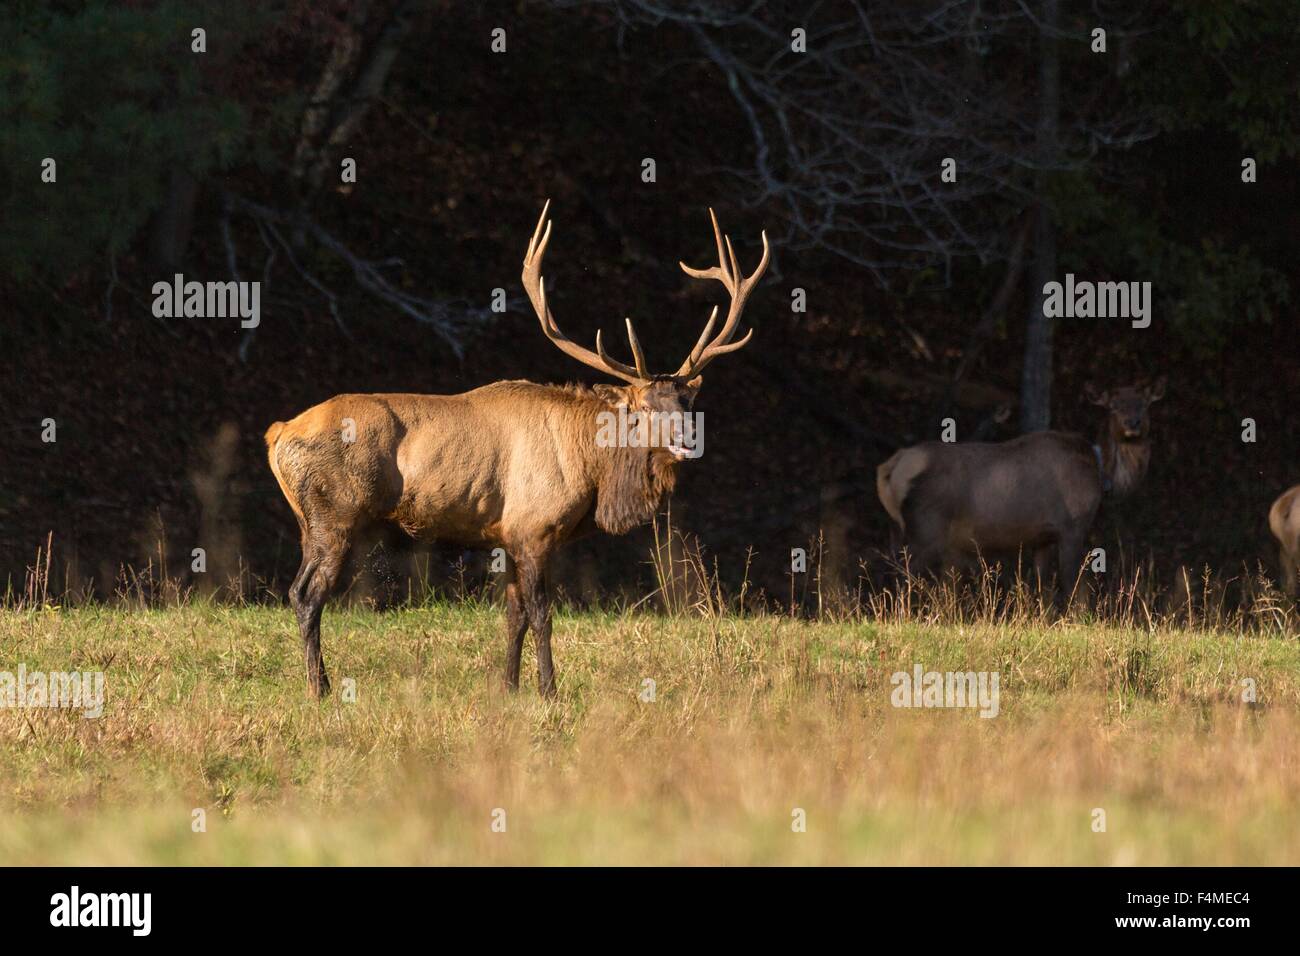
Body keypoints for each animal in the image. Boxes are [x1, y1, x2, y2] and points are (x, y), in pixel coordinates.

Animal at [265, 202, 769, 698]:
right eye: (644, 407)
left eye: (687, 402)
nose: (686, 440)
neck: (591, 470)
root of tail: (277, 434)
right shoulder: (534, 527)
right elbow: (542, 615)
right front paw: (548, 691)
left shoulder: (507, 533)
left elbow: (514, 616)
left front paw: (508, 687)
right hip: (335, 513)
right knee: (305, 594)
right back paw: (320, 688)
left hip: (311, 522)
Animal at [876, 377, 1165, 600]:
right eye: (1113, 406)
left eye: (1144, 404)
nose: (1132, 423)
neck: (1100, 469)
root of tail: (893, 465)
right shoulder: (1073, 526)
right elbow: (1074, 588)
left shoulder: (1043, 538)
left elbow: (1041, 588)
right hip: (926, 528)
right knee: (903, 575)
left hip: (898, 529)